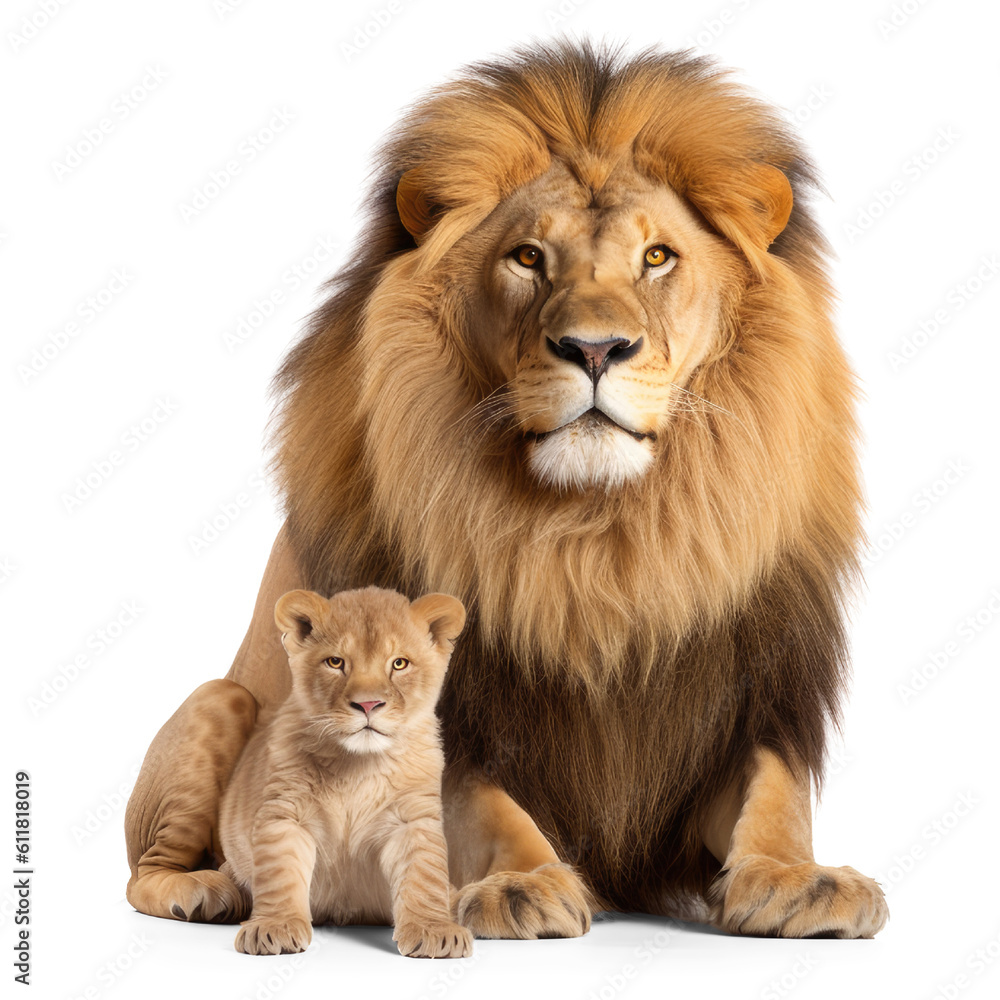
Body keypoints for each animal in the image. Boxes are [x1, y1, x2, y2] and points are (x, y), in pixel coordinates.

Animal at [125, 41, 888, 940]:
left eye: (657, 257)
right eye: (528, 257)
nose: (595, 349)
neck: (599, 538)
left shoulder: (745, 702)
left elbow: (774, 794)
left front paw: (799, 879)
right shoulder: (460, 713)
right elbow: (480, 809)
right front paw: (521, 885)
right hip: (219, 701)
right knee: (145, 867)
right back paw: (207, 889)